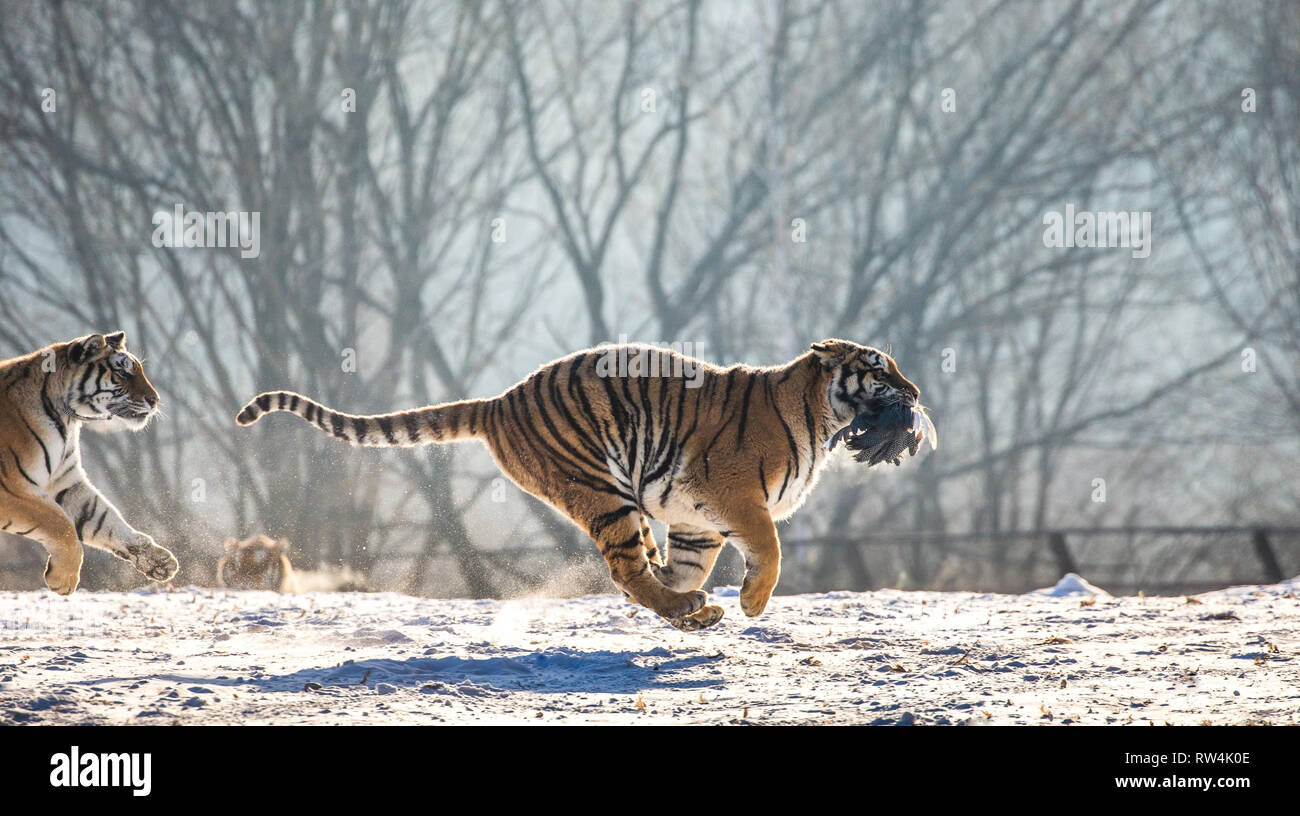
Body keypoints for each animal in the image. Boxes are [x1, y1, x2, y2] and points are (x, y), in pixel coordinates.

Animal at [0, 332, 179, 594]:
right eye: (122, 372)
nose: (155, 400)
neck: (65, 417)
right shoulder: (10, 487)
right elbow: (60, 524)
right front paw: (63, 579)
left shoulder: (65, 482)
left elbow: (104, 519)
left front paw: (158, 561)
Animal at [236, 339, 926, 631]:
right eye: (879, 368)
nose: (917, 392)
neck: (820, 416)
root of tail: (499, 400)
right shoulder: (733, 496)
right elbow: (773, 548)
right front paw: (752, 603)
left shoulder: (697, 519)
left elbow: (687, 566)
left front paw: (694, 603)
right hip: (603, 489)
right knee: (624, 569)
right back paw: (688, 612)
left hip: (624, 498)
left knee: (636, 574)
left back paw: (689, 614)